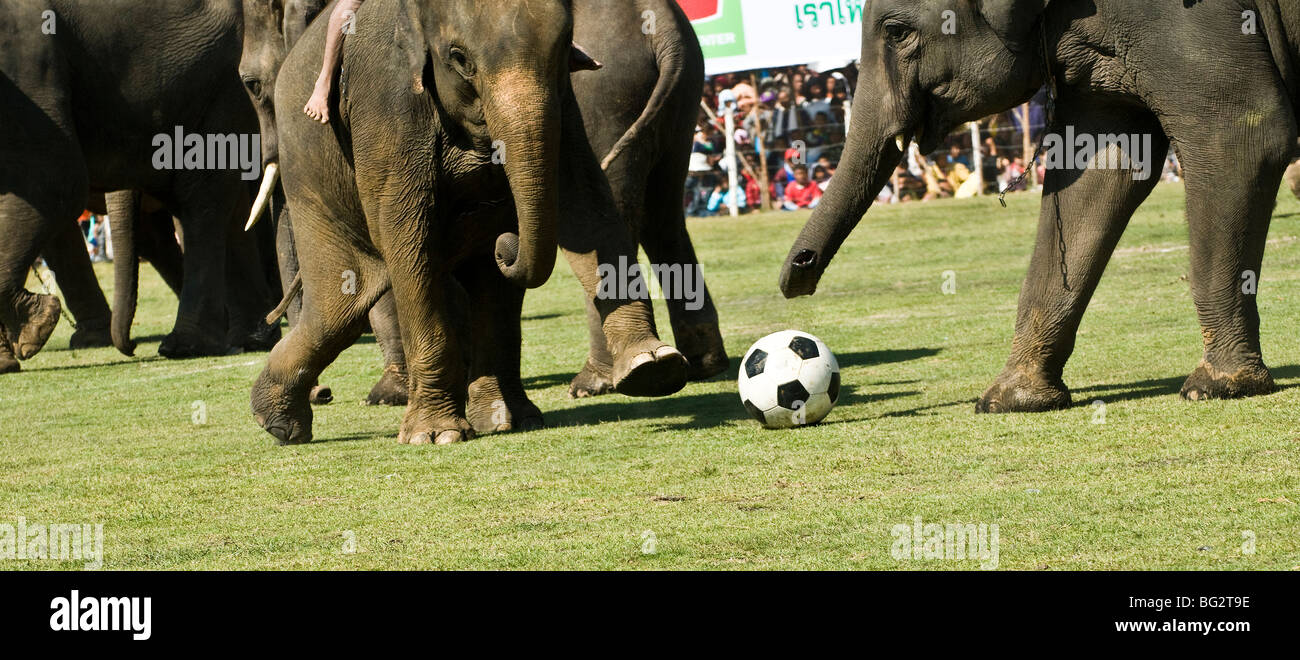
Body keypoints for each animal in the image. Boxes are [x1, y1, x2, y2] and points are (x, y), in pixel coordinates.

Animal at [0, 0, 273, 361]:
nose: (130, 348)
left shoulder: (28, 58)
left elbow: (54, 180)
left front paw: (35, 329)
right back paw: (247, 337)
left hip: (222, 91)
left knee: (203, 203)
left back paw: (188, 344)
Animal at [239, 0, 726, 407]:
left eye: (250, 83)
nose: (323, 394)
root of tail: (663, 27)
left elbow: (585, 201)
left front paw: (392, 395)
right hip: (676, 100)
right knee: (663, 217)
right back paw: (699, 365)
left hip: (607, 95)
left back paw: (595, 382)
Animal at [779, 0, 1298, 412]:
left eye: (896, 32)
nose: (796, 276)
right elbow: (1099, 171)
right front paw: (1009, 400)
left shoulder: (1185, 20)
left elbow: (1239, 137)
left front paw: (1217, 386)